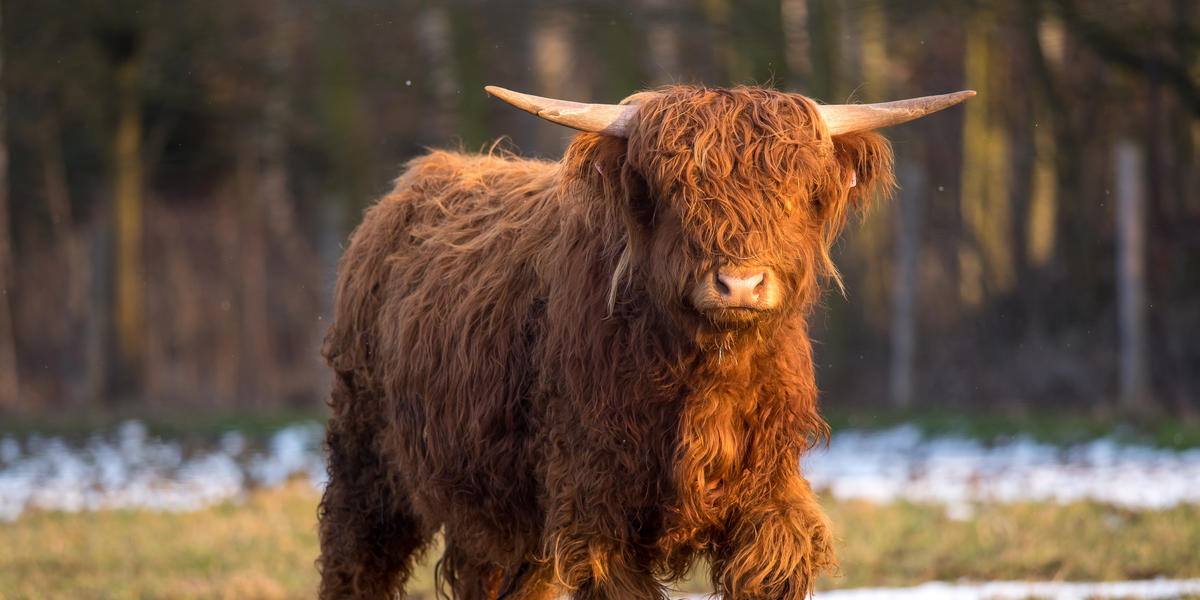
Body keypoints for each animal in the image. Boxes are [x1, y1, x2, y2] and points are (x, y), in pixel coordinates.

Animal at [318, 84, 973, 600]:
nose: (740, 283)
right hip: (367, 462)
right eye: (676, 191)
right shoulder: (598, 508)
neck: (705, 374)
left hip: (497, 511)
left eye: (794, 192)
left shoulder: (767, 497)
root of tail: (421, 178)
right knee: (355, 561)